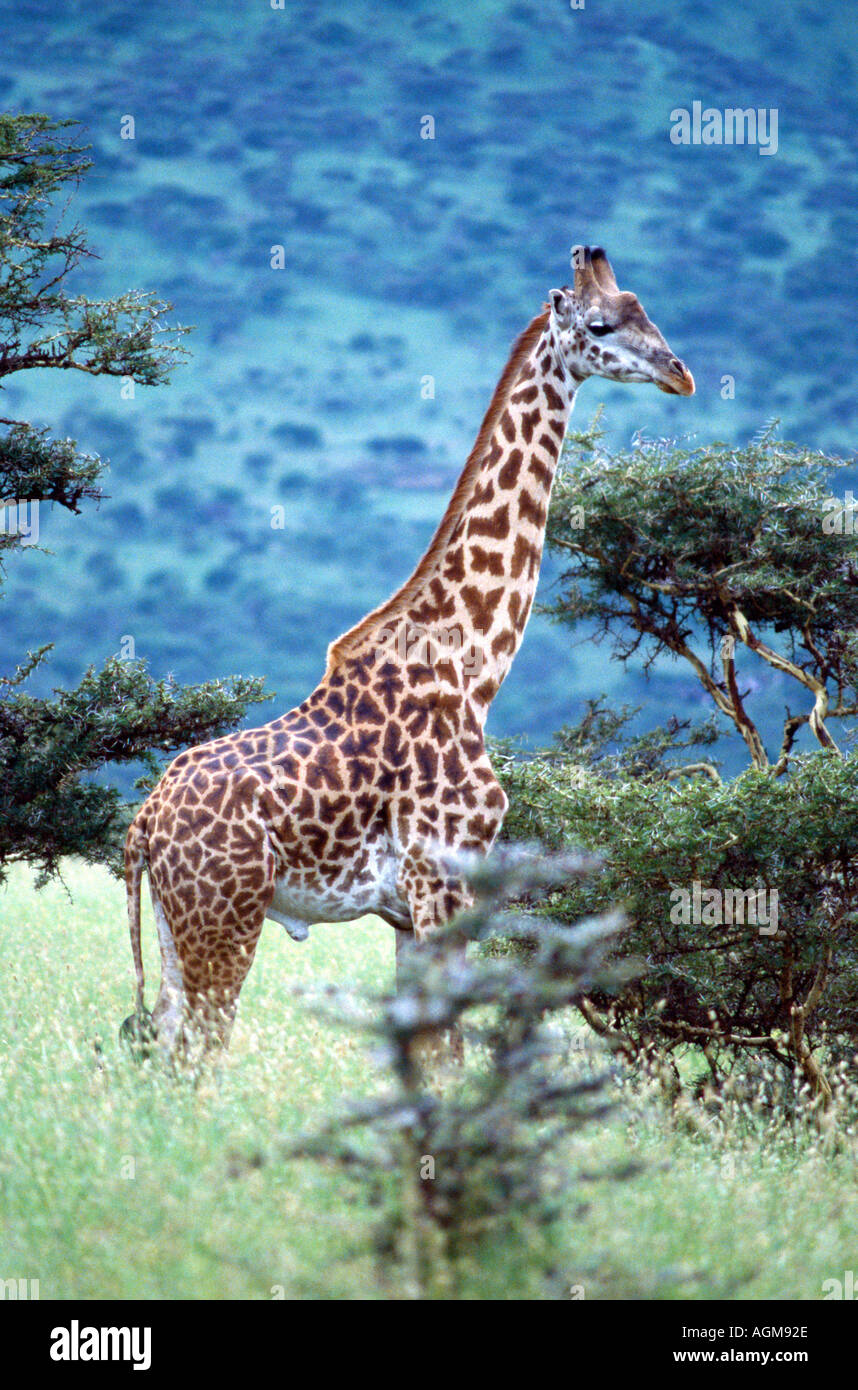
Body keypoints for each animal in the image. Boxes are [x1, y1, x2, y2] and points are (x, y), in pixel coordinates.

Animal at [121, 246, 694, 1059]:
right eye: (601, 324)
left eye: (646, 309)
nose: (682, 373)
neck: (473, 664)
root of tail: (143, 825)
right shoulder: (444, 880)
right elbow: (447, 1055)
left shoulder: (406, 910)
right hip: (223, 918)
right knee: (200, 1054)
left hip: (177, 931)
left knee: (163, 1057)